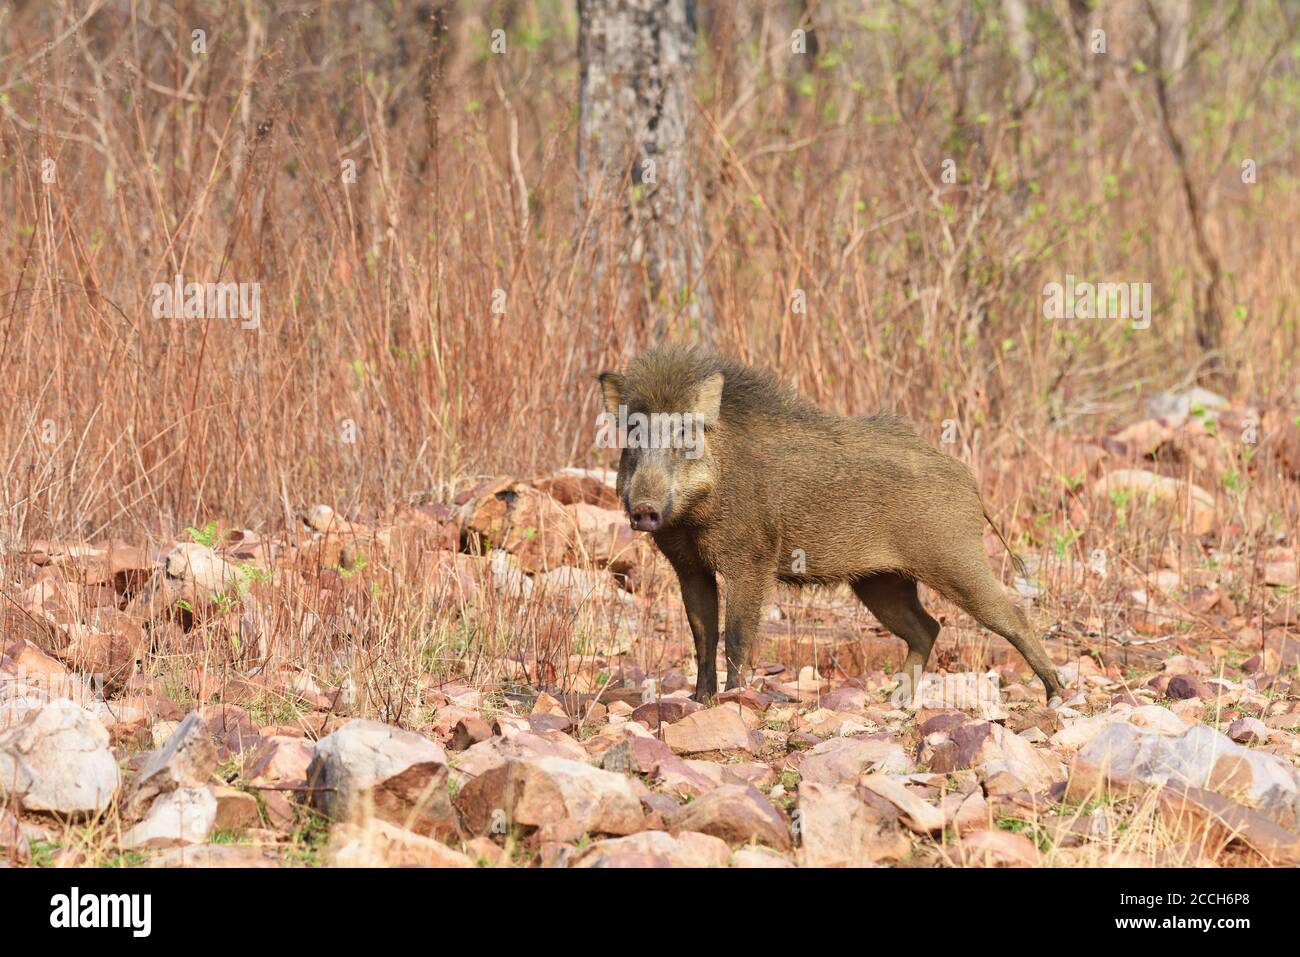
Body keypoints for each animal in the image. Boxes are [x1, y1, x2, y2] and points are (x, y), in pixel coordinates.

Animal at [597, 346, 1065, 706]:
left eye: (683, 434)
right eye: (632, 434)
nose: (644, 509)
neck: (694, 513)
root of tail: (970, 483)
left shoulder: (751, 561)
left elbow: (736, 636)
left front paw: (732, 701)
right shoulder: (689, 567)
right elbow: (703, 637)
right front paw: (700, 701)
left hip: (955, 559)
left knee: (1013, 617)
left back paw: (1057, 695)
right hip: (881, 582)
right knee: (927, 627)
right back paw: (897, 701)